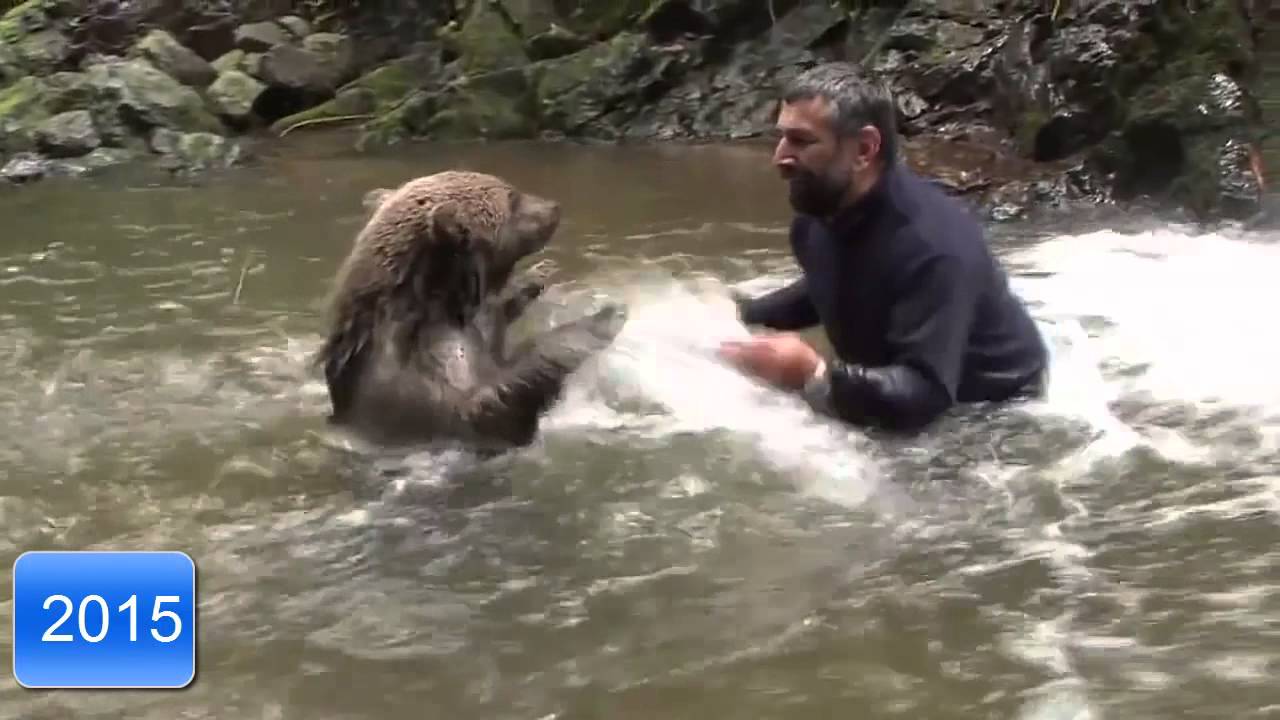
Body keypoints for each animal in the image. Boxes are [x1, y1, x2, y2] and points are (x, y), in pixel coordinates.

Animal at [314, 170, 627, 452]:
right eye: (512, 197)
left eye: (511, 189)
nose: (554, 206)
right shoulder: (425, 374)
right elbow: (488, 402)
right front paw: (605, 318)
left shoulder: (479, 324)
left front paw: (539, 274)